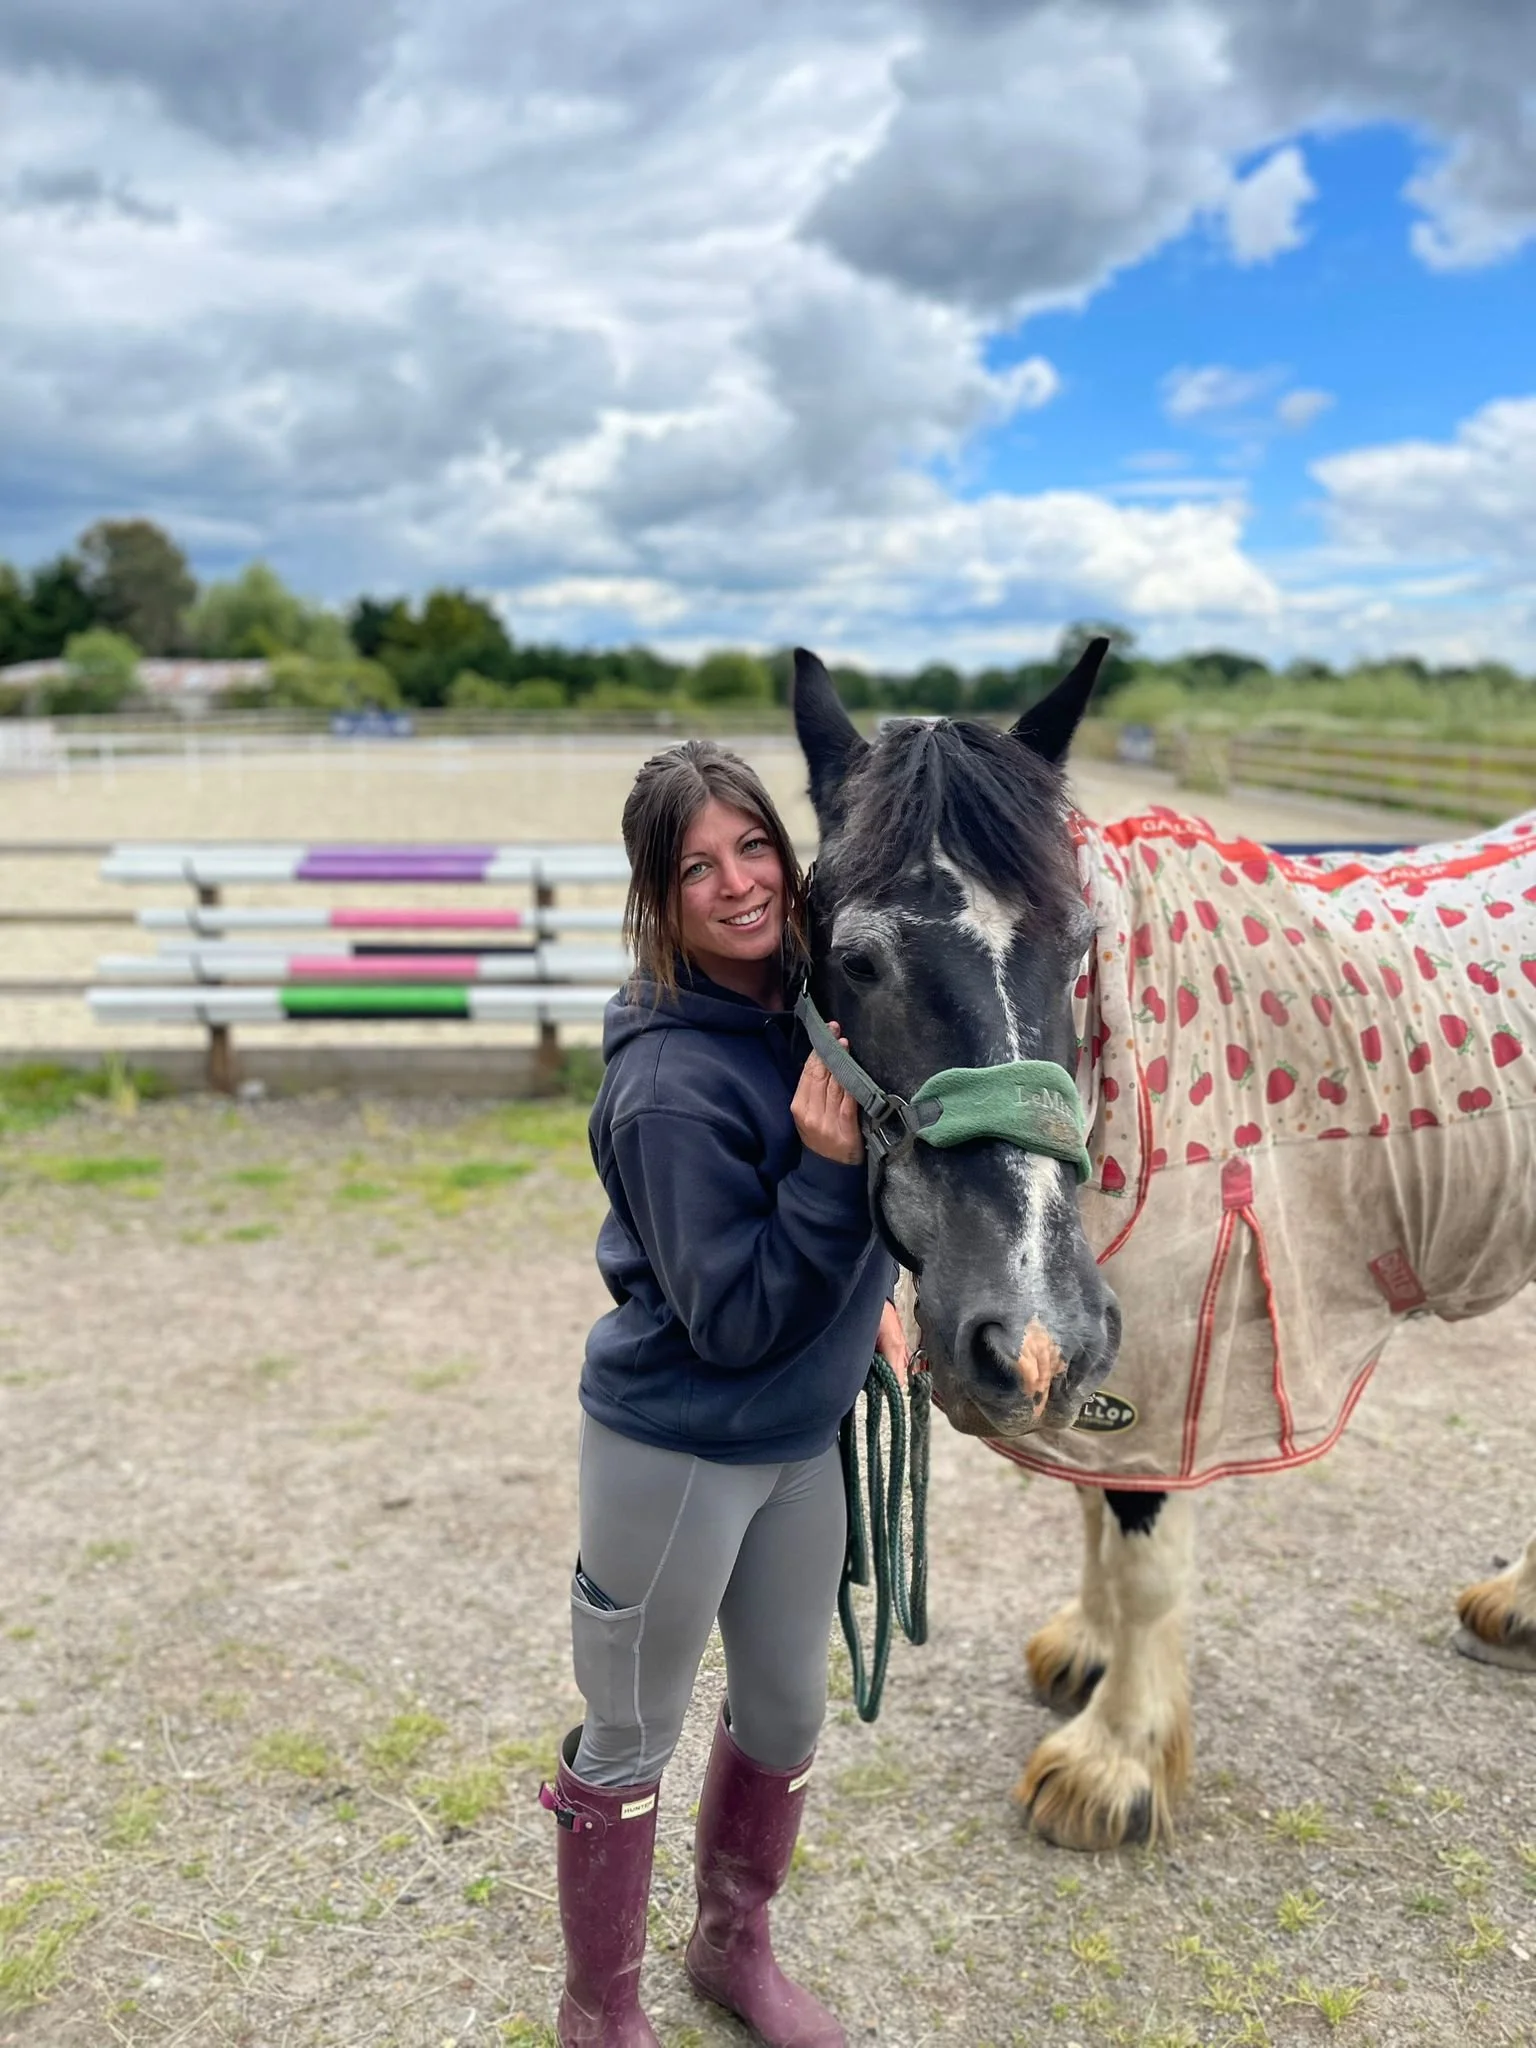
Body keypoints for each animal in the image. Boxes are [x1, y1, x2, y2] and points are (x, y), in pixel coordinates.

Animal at [791, 640, 1536, 1852]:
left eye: (1079, 946)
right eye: (856, 959)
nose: (1021, 1314)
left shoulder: (1175, 1347)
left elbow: (1143, 1550)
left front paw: (1117, 1760)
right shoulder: (1100, 1354)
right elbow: (1095, 1501)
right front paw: (1088, 1656)